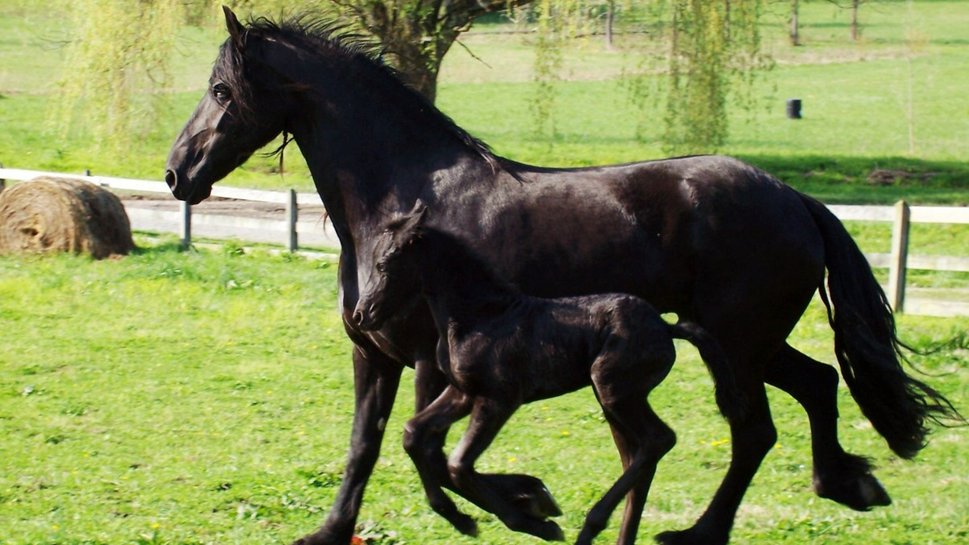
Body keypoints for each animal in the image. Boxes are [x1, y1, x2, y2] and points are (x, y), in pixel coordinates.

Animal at [353, 205, 747, 544]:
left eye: (385, 263)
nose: (361, 315)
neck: (480, 315)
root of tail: (666, 327)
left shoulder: (499, 399)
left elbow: (459, 464)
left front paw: (536, 519)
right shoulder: (461, 393)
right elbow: (413, 434)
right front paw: (464, 517)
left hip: (614, 390)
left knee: (658, 439)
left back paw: (590, 524)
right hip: (617, 398)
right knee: (645, 450)